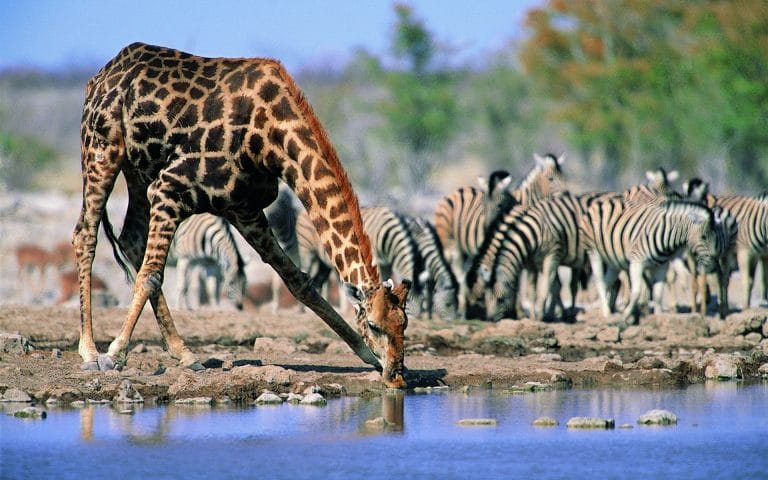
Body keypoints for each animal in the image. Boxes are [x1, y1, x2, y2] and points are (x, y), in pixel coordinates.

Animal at [74, 43, 410, 388]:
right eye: (374, 325)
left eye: (405, 325)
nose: (397, 376)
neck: (268, 137)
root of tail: (99, 76)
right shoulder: (169, 188)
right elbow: (151, 276)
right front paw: (115, 354)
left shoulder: (244, 209)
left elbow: (299, 282)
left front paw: (365, 355)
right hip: (101, 151)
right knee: (86, 235)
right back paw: (90, 351)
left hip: (138, 173)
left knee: (130, 239)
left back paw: (185, 354)